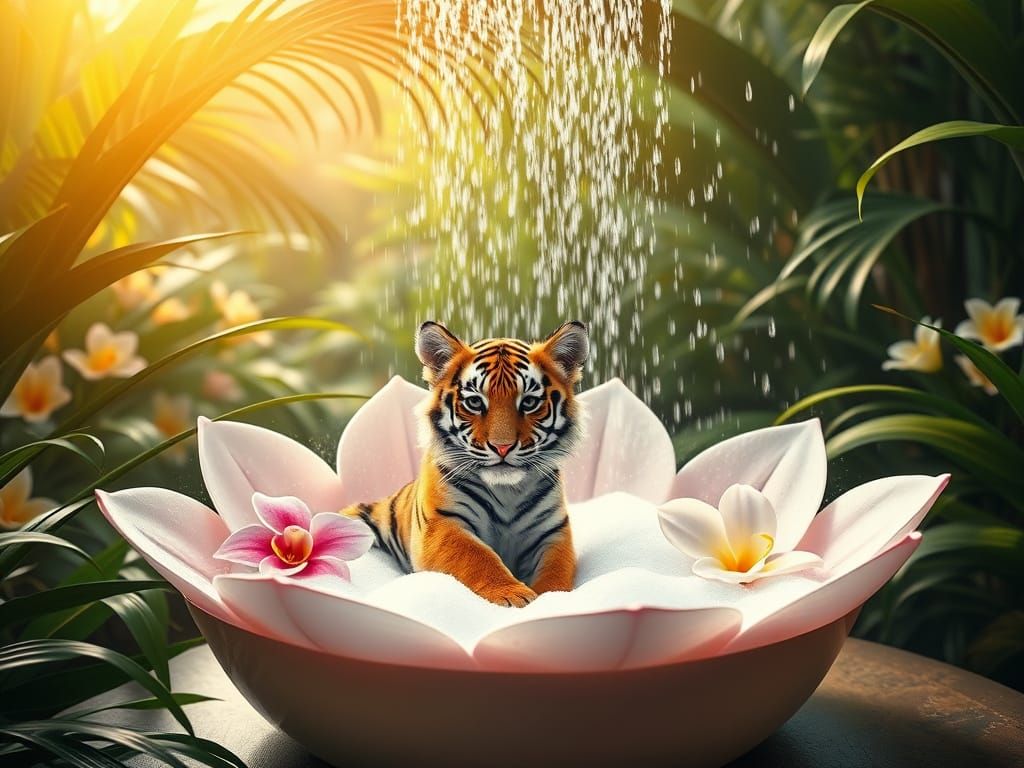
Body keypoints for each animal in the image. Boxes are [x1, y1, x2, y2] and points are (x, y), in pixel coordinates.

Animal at [342, 320, 588, 607]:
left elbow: (556, 569)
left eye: (528, 402)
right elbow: (477, 556)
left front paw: (553, 600)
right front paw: (513, 594)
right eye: (474, 402)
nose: (502, 447)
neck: (507, 491)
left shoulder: (552, 531)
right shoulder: (442, 524)